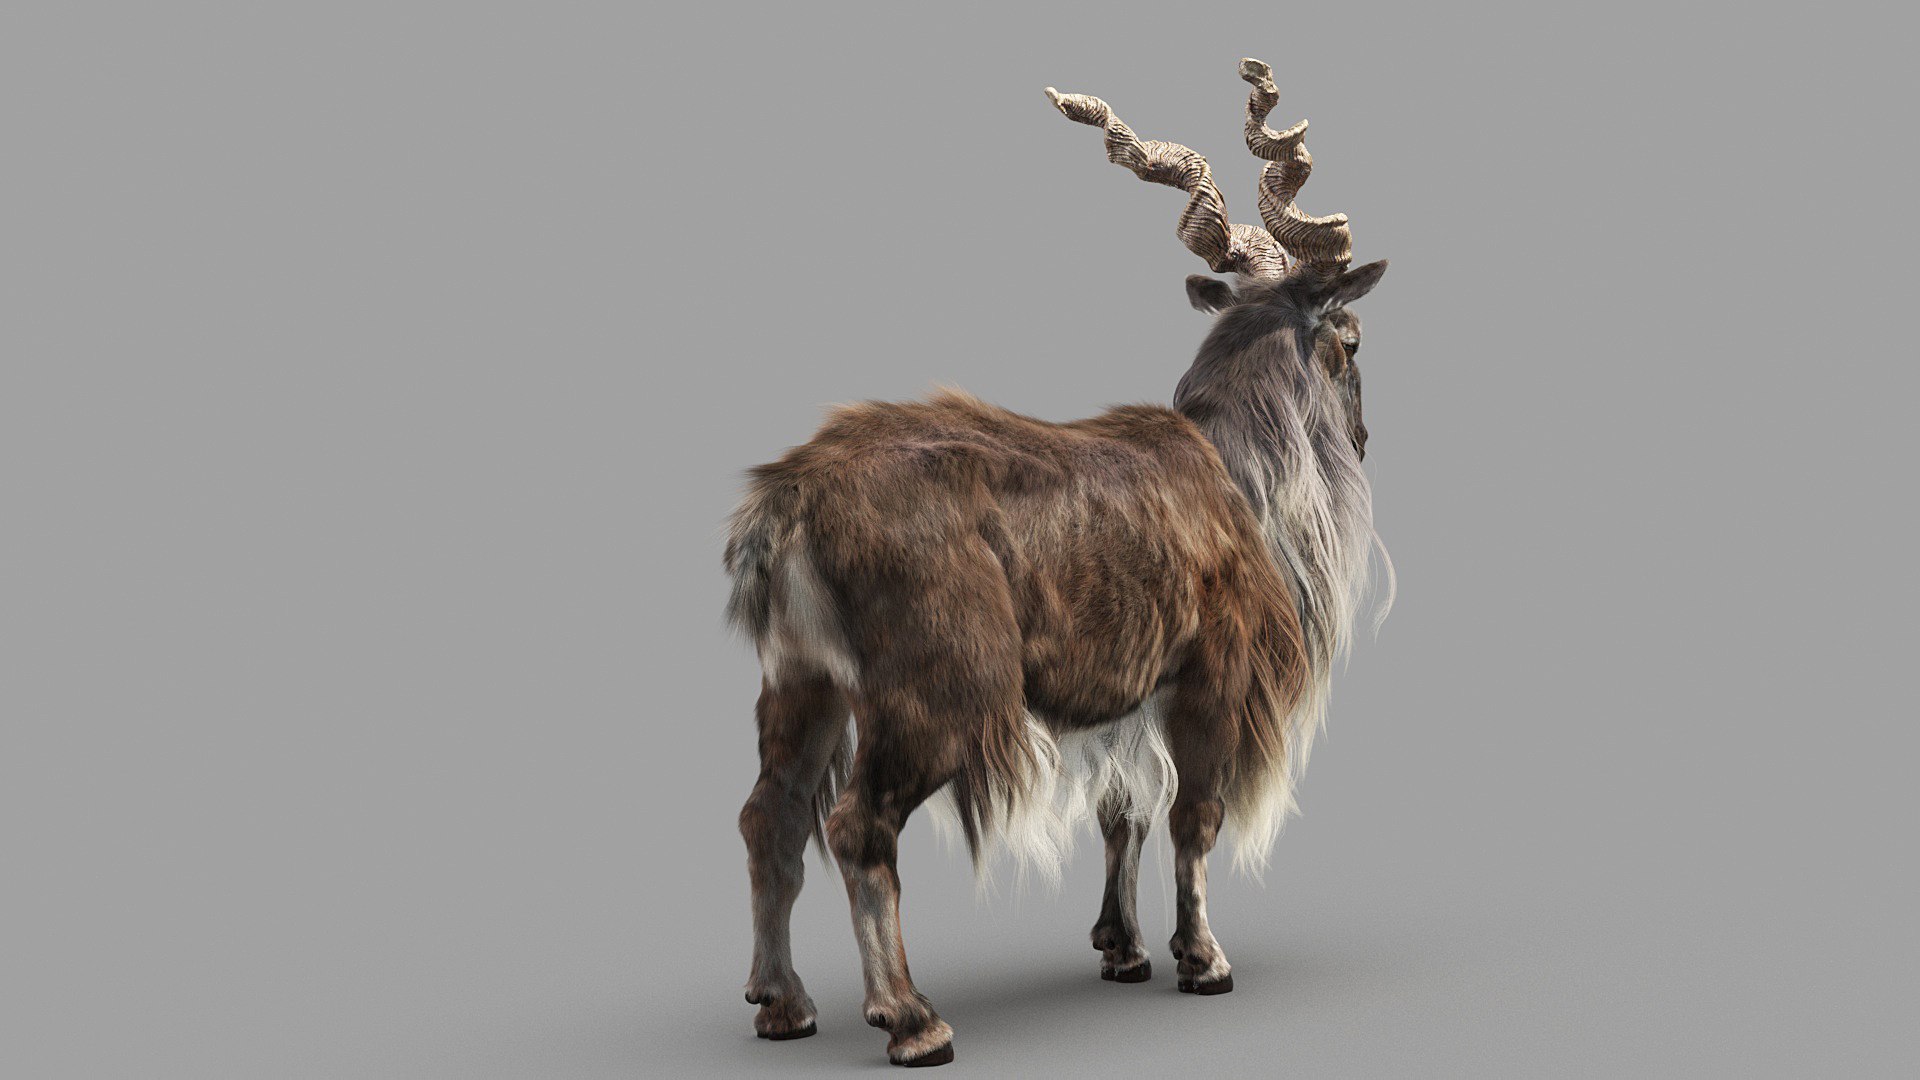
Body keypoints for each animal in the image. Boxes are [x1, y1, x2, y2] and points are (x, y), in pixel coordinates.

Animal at [725, 58, 1390, 1067]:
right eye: (1348, 341)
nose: (1366, 436)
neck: (1234, 471)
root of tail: (788, 502)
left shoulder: (1126, 699)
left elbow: (1124, 814)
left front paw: (1122, 950)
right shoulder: (1210, 672)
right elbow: (1195, 815)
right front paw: (1204, 960)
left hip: (802, 684)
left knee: (773, 814)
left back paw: (782, 1003)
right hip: (929, 697)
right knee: (855, 827)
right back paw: (910, 1019)